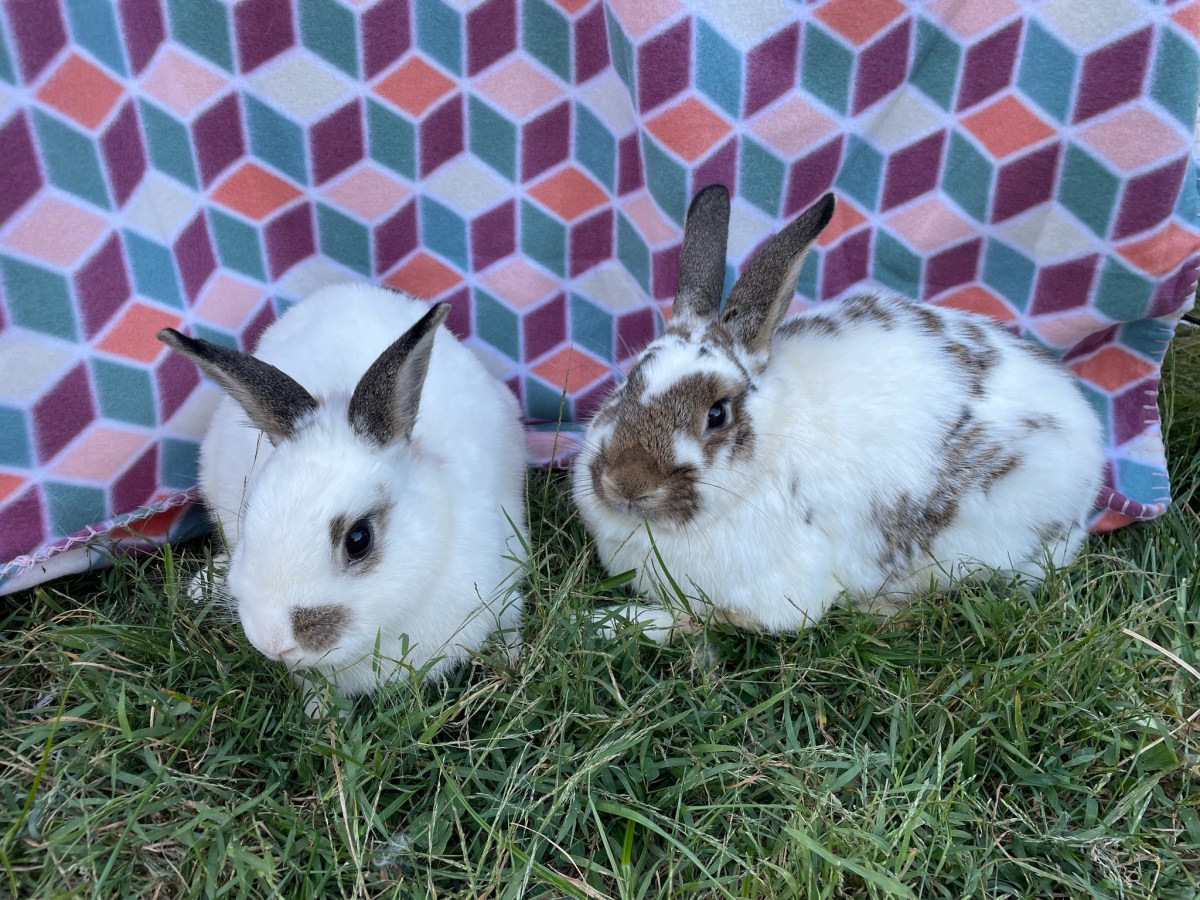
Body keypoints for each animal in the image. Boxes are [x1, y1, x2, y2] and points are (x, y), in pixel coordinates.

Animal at [158, 283, 528, 711]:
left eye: (358, 539)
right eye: (249, 517)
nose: (273, 642)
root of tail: (340, 289)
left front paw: (513, 661)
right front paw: (319, 715)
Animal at [572, 185, 1105, 641]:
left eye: (717, 414)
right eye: (630, 381)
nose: (626, 484)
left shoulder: (772, 599)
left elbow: (700, 618)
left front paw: (610, 622)